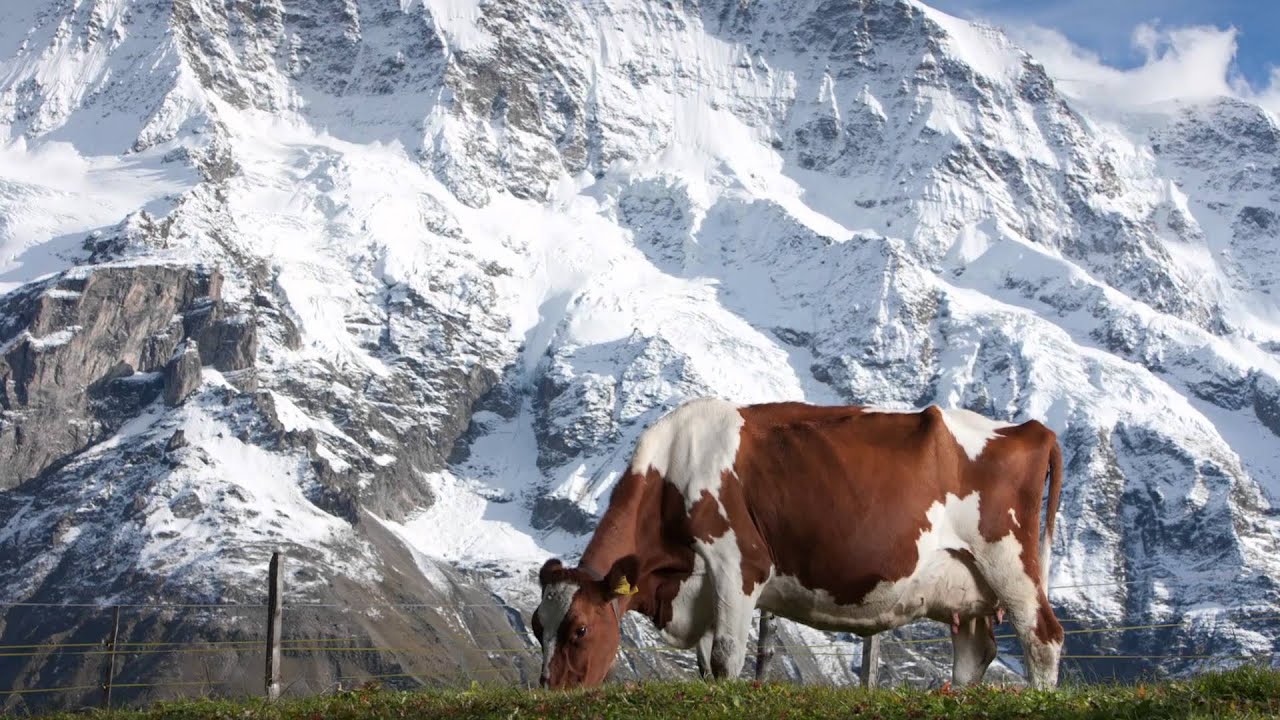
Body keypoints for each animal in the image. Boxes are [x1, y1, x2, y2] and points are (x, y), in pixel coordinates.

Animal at [532, 398, 1065, 690]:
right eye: (538, 626)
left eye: (579, 629)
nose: (550, 692)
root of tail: (1029, 428)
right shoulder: (703, 591)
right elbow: (705, 664)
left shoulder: (738, 565)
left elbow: (725, 658)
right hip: (968, 588)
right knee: (975, 653)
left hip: (1009, 563)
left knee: (1044, 638)